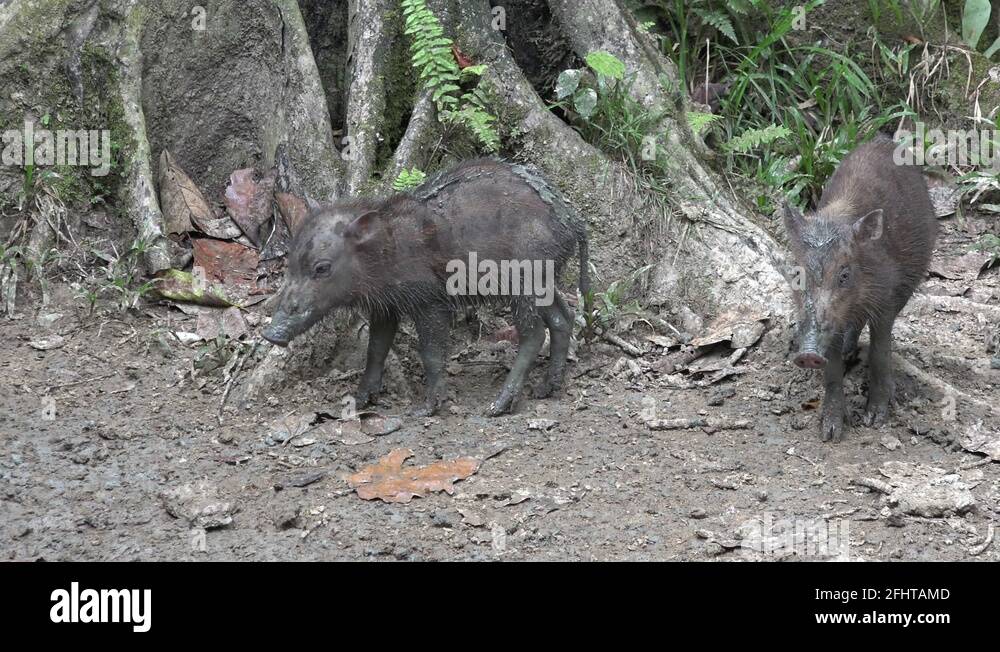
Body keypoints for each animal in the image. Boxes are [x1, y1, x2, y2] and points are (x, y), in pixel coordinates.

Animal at [261, 159, 590, 417]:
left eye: (322, 268)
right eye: (291, 262)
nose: (271, 334)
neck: (384, 252)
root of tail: (573, 222)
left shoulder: (430, 301)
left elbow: (431, 353)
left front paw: (426, 408)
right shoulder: (386, 307)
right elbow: (376, 349)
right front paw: (361, 400)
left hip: (523, 280)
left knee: (534, 334)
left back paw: (498, 405)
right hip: (543, 281)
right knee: (563, 318)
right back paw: (546, 389)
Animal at [782, 137, 937, 442]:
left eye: (844, 274)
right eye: (797, 274)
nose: (807, 355)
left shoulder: (886, 299)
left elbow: (880, 351)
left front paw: (875, 420)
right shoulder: (833, 319)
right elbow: (832, 368)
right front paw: (830, 433)